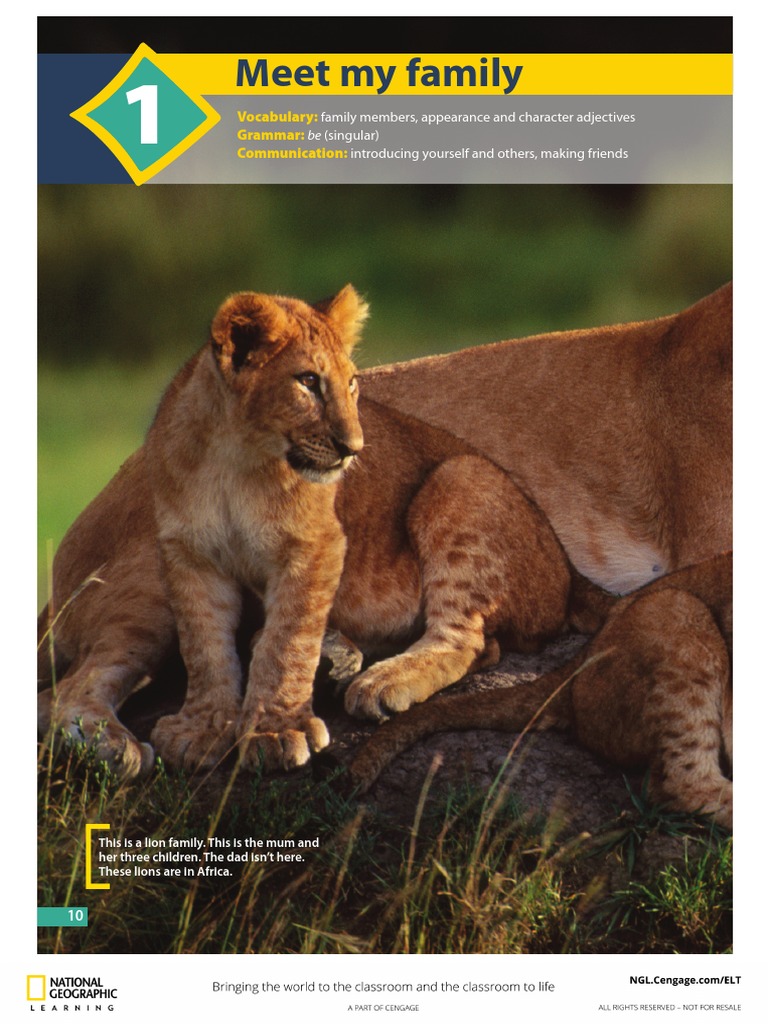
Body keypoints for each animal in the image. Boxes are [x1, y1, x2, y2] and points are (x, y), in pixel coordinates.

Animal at [39, 286, 612, 776]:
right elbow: (205, 646)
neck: (235, 458)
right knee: (70, 686)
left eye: (352, 382)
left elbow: (287, 640)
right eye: (308, 382)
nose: (353, 448)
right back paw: (114, 746)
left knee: (470, 640)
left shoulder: (316, 545)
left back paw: (380, 680)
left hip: (460, 475)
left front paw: (274, 732)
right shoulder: (188, 554)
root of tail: (569, 570)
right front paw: (204, 728)